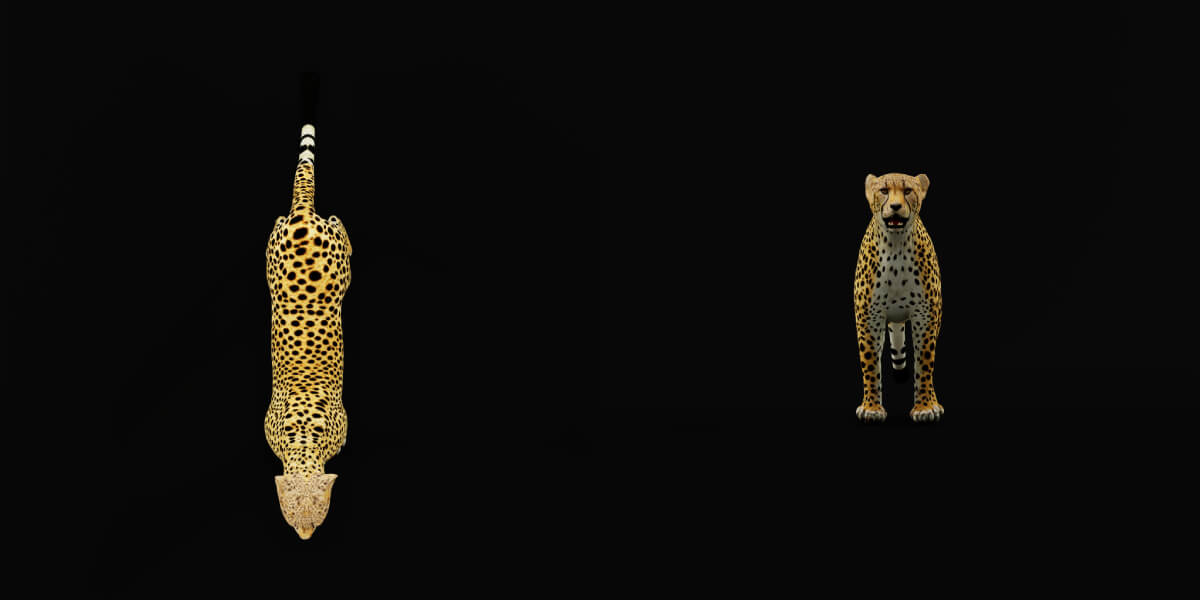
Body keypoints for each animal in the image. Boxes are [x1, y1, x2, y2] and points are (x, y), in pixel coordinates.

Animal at [853, 173, 943, 423]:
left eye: (908, 191)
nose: (895, 206)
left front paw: (925, 407)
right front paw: (871, 407)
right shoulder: (869, 317)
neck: (895, 246)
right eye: (884, 191)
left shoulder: (925, 315)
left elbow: (925, 361)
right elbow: (869, 362)